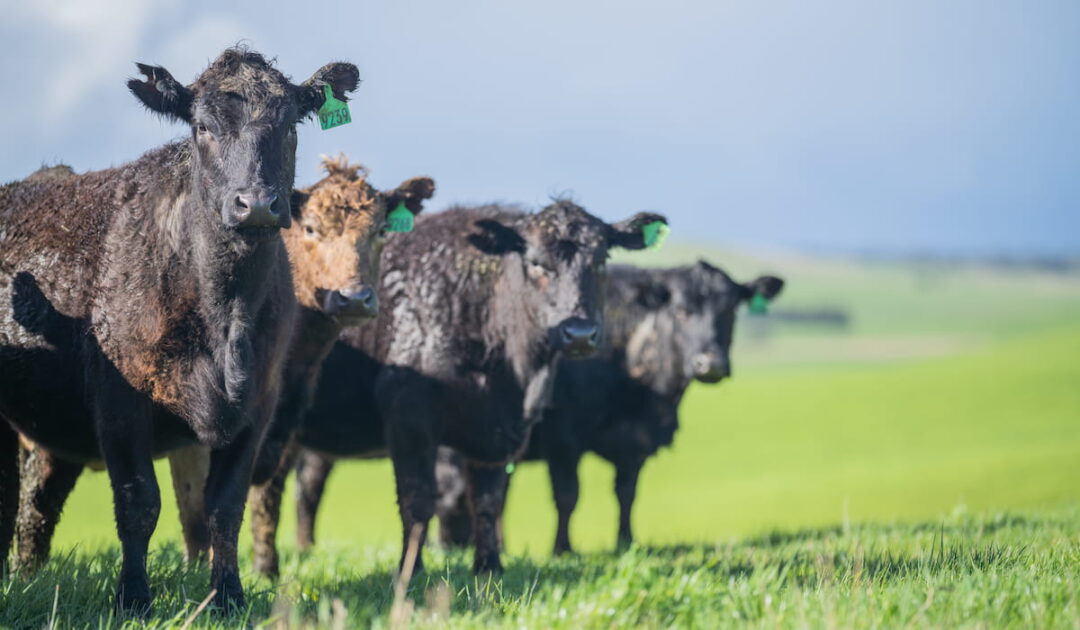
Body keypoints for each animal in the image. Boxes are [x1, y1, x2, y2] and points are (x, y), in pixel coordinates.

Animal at [0, 48, 359, 613]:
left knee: (38, 500)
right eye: (203, 126)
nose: (256, 204)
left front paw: (228, 597)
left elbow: (224, 508)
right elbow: (138, 502)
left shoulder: (257, 406)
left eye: (290, 128)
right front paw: (133, 599)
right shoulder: (120, 404)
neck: (223, 319)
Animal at [239, 201, 666, 577]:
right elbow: (417, 499)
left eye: (601, 261)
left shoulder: (501, 432)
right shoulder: (410, 417)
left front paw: (490, 568)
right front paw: (409, 572)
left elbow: (489, 502)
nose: (578, 332)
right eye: (536, 263)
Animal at [430, 261, 784, 553]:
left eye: (730, 311)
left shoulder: (635, 443)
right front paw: (563, 548)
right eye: (682, 311)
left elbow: (626, 493)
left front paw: (626, 541)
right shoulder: (564, 440)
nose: (710, 363)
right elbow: (568, 496)